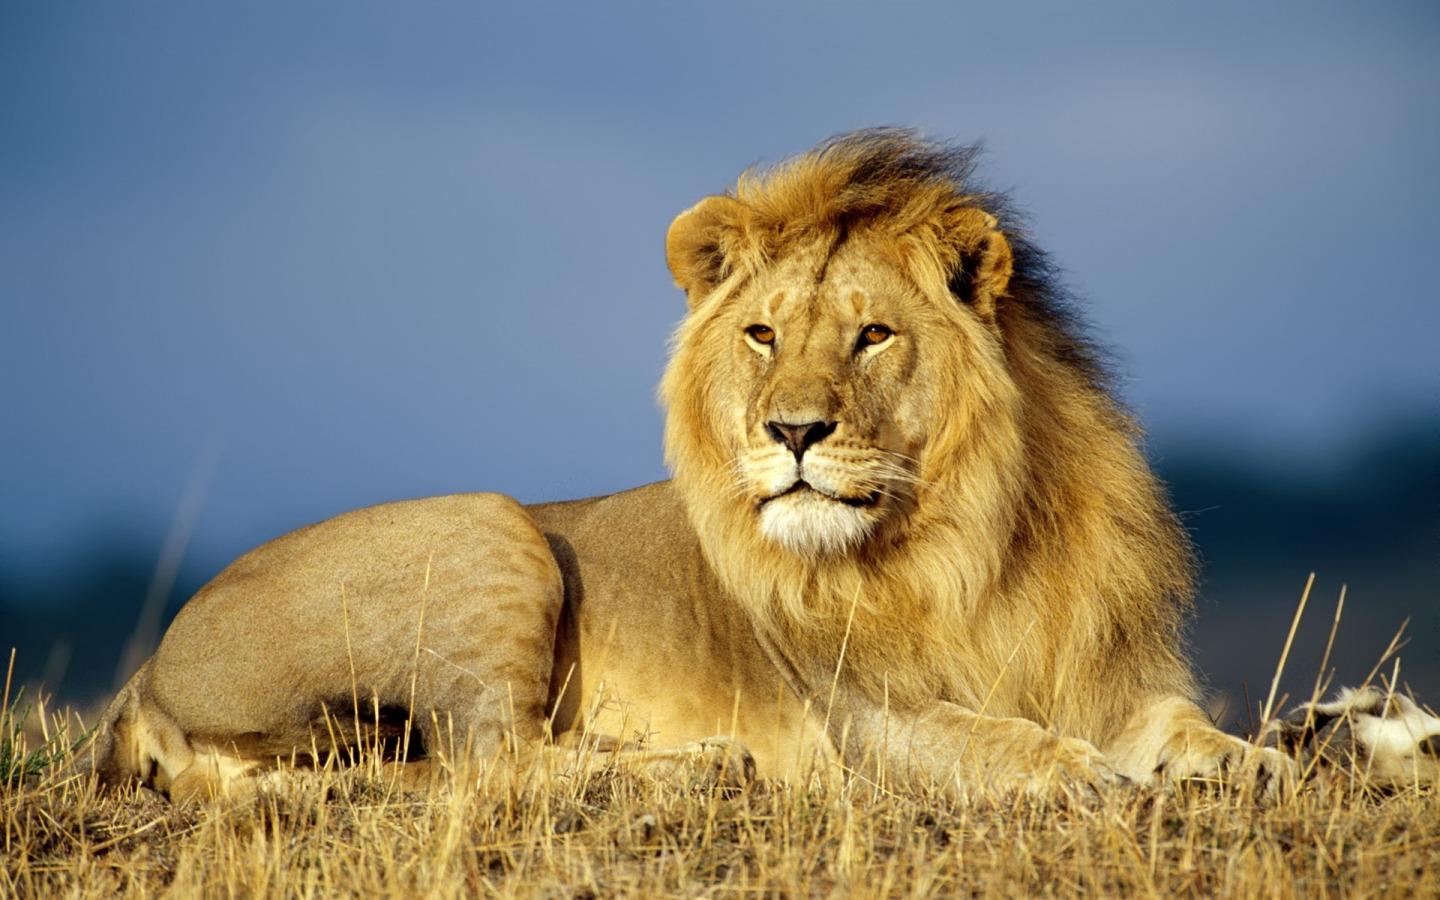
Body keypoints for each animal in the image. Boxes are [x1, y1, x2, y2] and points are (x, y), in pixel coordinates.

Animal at [82, 129, 1427, 804]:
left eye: (872, 334)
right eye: (764, 335)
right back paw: (699, 766)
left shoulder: (1113, 675)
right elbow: (1006, 746)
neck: (971, 539)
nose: (792, 432)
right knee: (489, 763)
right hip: (493, 528)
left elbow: (1190, 731)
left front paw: (1270, 757)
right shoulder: (866, 720)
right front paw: (1091, 780)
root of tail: (145, 677)